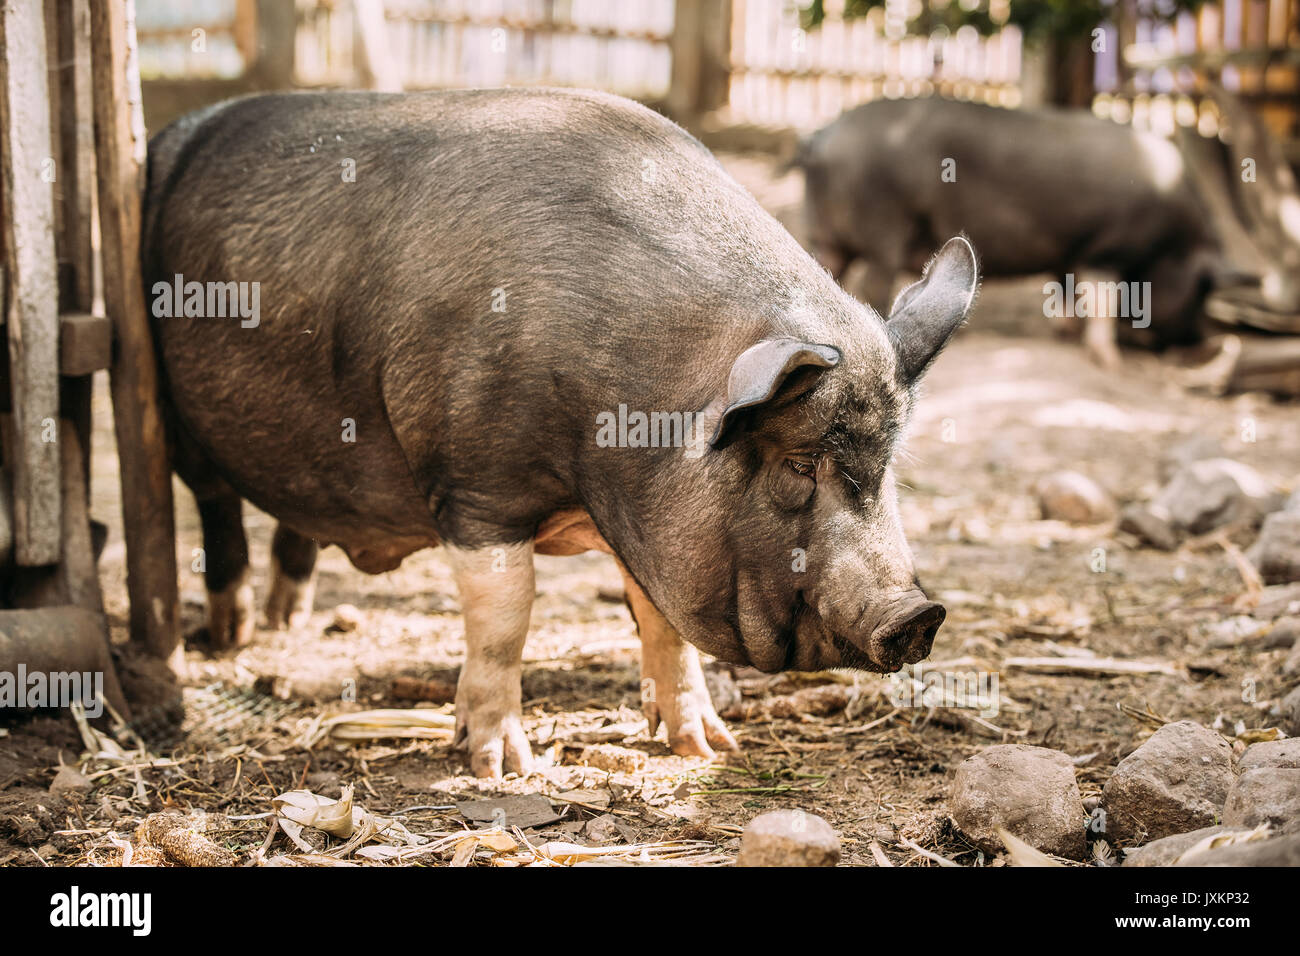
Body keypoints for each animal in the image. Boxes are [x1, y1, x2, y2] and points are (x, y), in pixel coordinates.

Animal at [142, 89, 978, 778]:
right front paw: (502, 767)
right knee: (215, 504)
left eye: (885, 464)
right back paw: (232, 635)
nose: (919, 615)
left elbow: (663, 627)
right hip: (177, 417)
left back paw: (283, 619)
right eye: (800, 463)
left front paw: (709, 747)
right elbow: (507, 619)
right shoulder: (476, 484)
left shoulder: (644, 526)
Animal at [793, 96, 1235, 363]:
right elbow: (1103, 298)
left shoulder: (1071, 253)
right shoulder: (1109, 250)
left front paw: (1066, 333)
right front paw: (1108, 360)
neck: (1174, 243)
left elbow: (1068, 290)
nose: (1209, 342)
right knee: (874, 283)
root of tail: (820, 138)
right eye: (1204, 289)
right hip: (883, 229)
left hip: (826, 238)